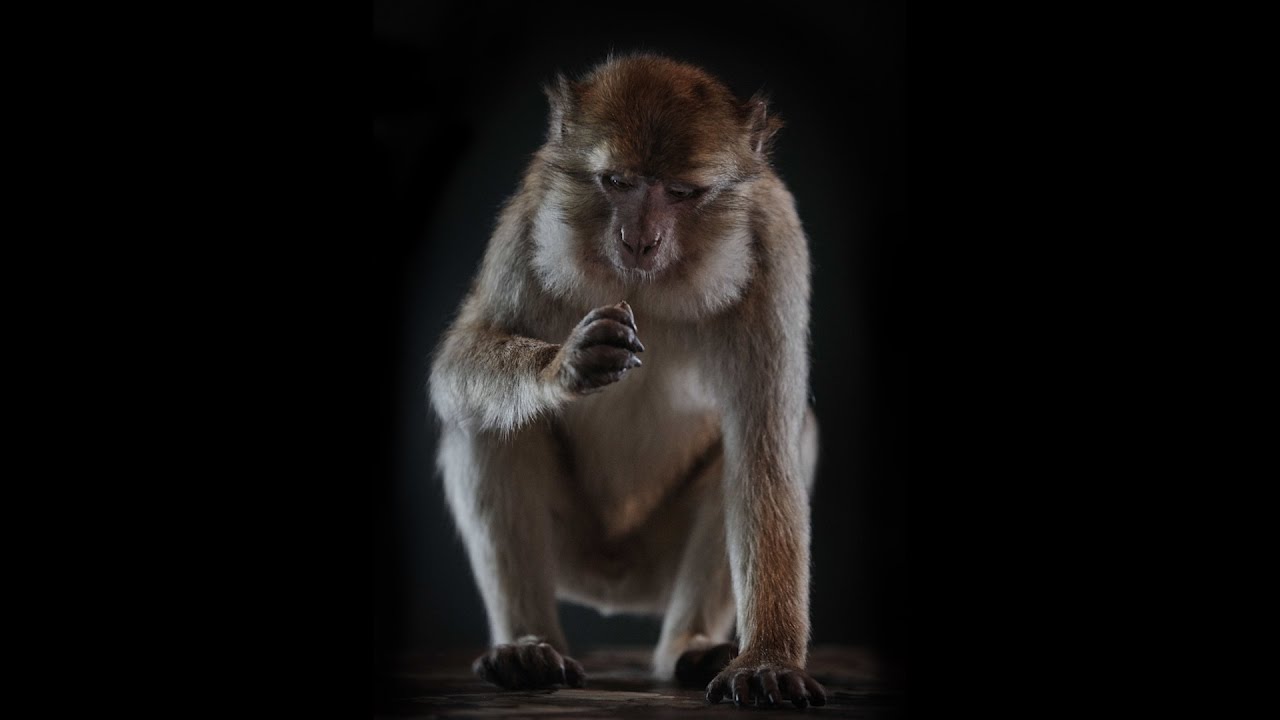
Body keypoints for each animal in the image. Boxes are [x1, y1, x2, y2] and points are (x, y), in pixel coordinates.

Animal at [428, 54, 826, 709]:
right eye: (617, 182)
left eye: (681, 193)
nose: (639, 240)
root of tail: (614, 582)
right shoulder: (531, 211)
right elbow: (453, 366)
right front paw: (561, 365)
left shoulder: (774, 242)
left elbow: (765, 449)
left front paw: (767, 659)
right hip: (574, 555)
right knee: (483, 423)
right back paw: (527, 646)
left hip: (652, 566)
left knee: (764, 448)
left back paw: (688, 646)